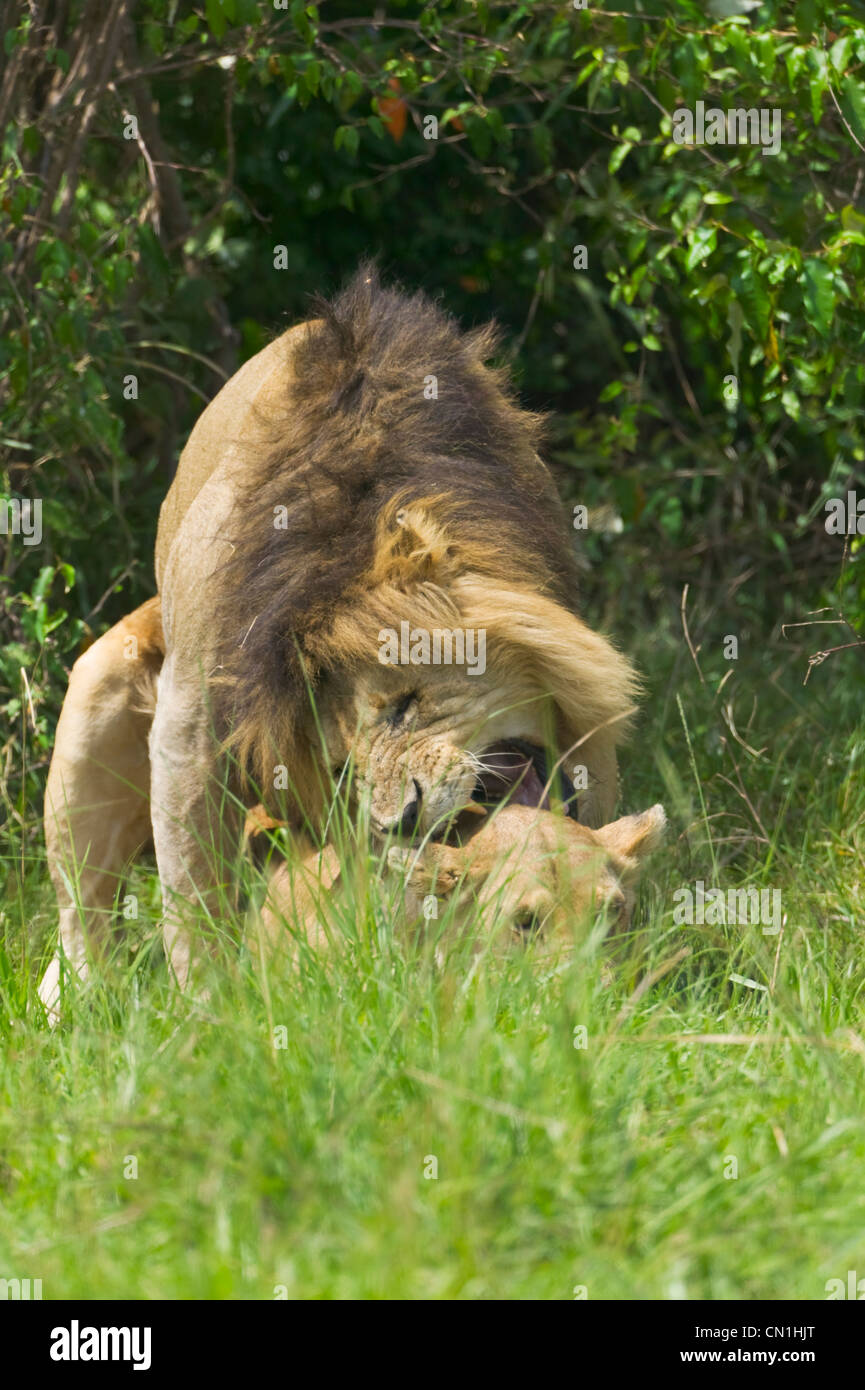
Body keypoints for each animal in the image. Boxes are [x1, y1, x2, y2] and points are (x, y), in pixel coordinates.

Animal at [39, 265, 641, 1014]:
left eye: (407, 703)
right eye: (340, 766)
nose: (403, 820)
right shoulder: (190, 720)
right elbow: (193, 895)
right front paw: (211, 1016)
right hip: (90, 729)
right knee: (81, 914)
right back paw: (81, 1008)